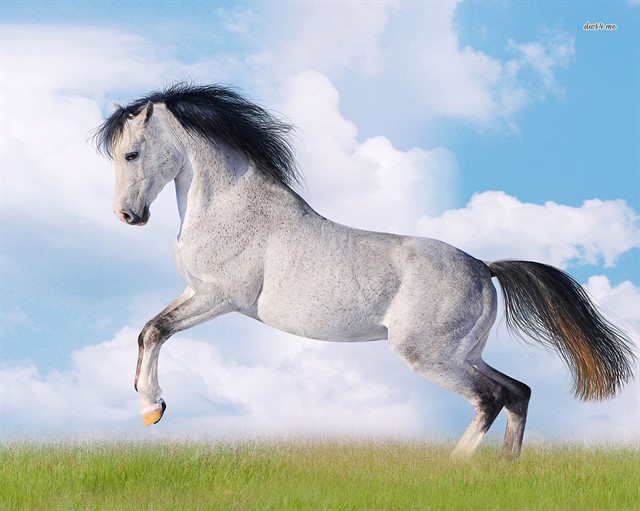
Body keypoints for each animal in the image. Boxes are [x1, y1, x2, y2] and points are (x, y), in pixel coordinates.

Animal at [94, 83, 635, 458]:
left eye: (132, 153)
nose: (127, 216)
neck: (230, 207)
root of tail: (485, 268)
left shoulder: (222, 297)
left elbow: (157, 330)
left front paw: (152, 408)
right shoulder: (195, 292)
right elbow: (147, 330)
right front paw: (149, 407)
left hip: (429, 355)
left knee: (491, 398)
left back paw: (455, 470)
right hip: (464, 352)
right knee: (517, 391)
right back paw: (505, 470)